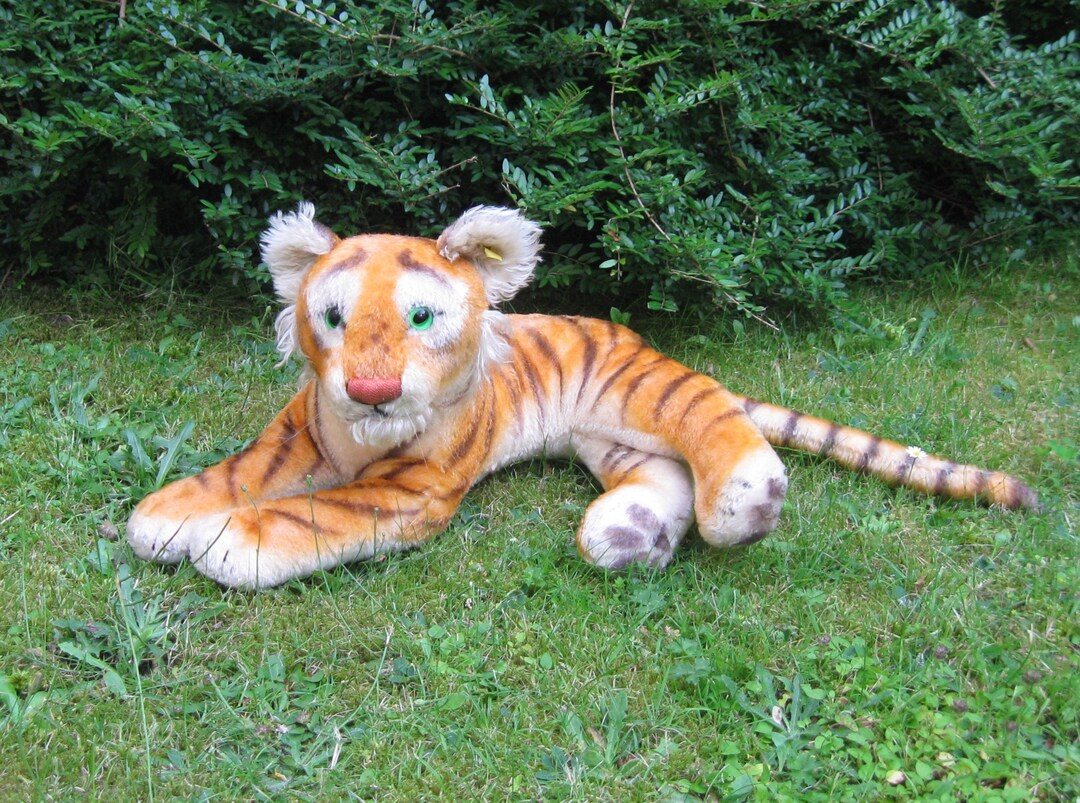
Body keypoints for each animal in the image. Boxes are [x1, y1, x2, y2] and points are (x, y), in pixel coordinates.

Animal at [126, 203, 1040, 589]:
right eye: (332, 317)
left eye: (422, 317)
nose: (372, 387)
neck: (358, 439)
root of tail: (632, 336)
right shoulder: (303, 431)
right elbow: (243, 471)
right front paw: (169, 512)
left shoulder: (411, 488)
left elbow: (312, 511)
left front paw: (230, 539)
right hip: (614, 439)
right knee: (663, 476)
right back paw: (630, 536)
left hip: (642, 389)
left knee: (710, 413)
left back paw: (746, 497)